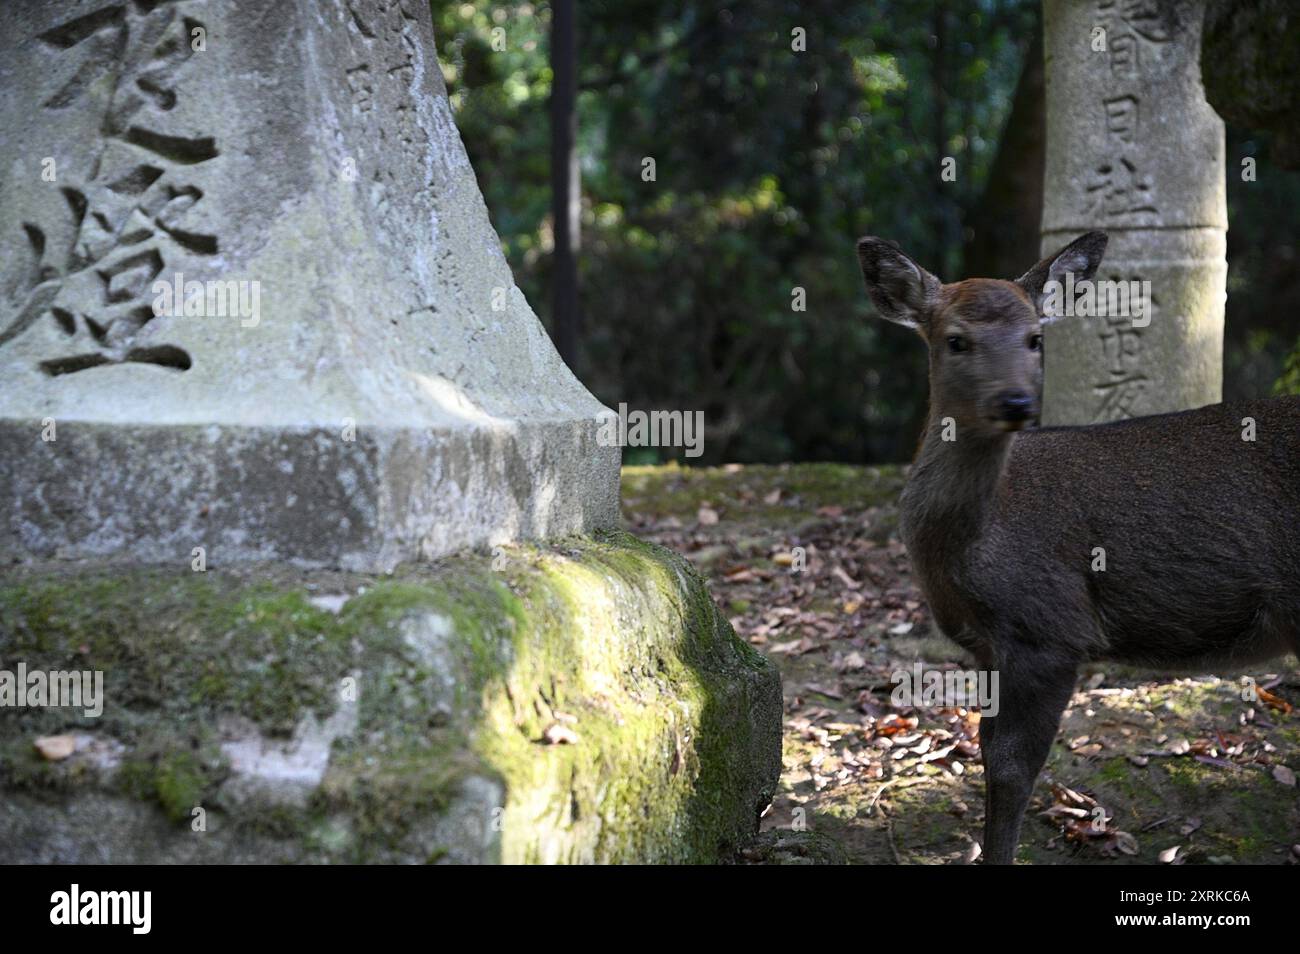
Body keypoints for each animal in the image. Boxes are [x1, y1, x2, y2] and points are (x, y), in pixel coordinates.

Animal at [856, 230, 1300, 864]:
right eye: (955, 339)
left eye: (1035, 338)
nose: (1016, 402)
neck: (969, 548)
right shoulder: (988, 646)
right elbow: (986, 750)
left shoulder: (1052, 628)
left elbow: (1013, 768)